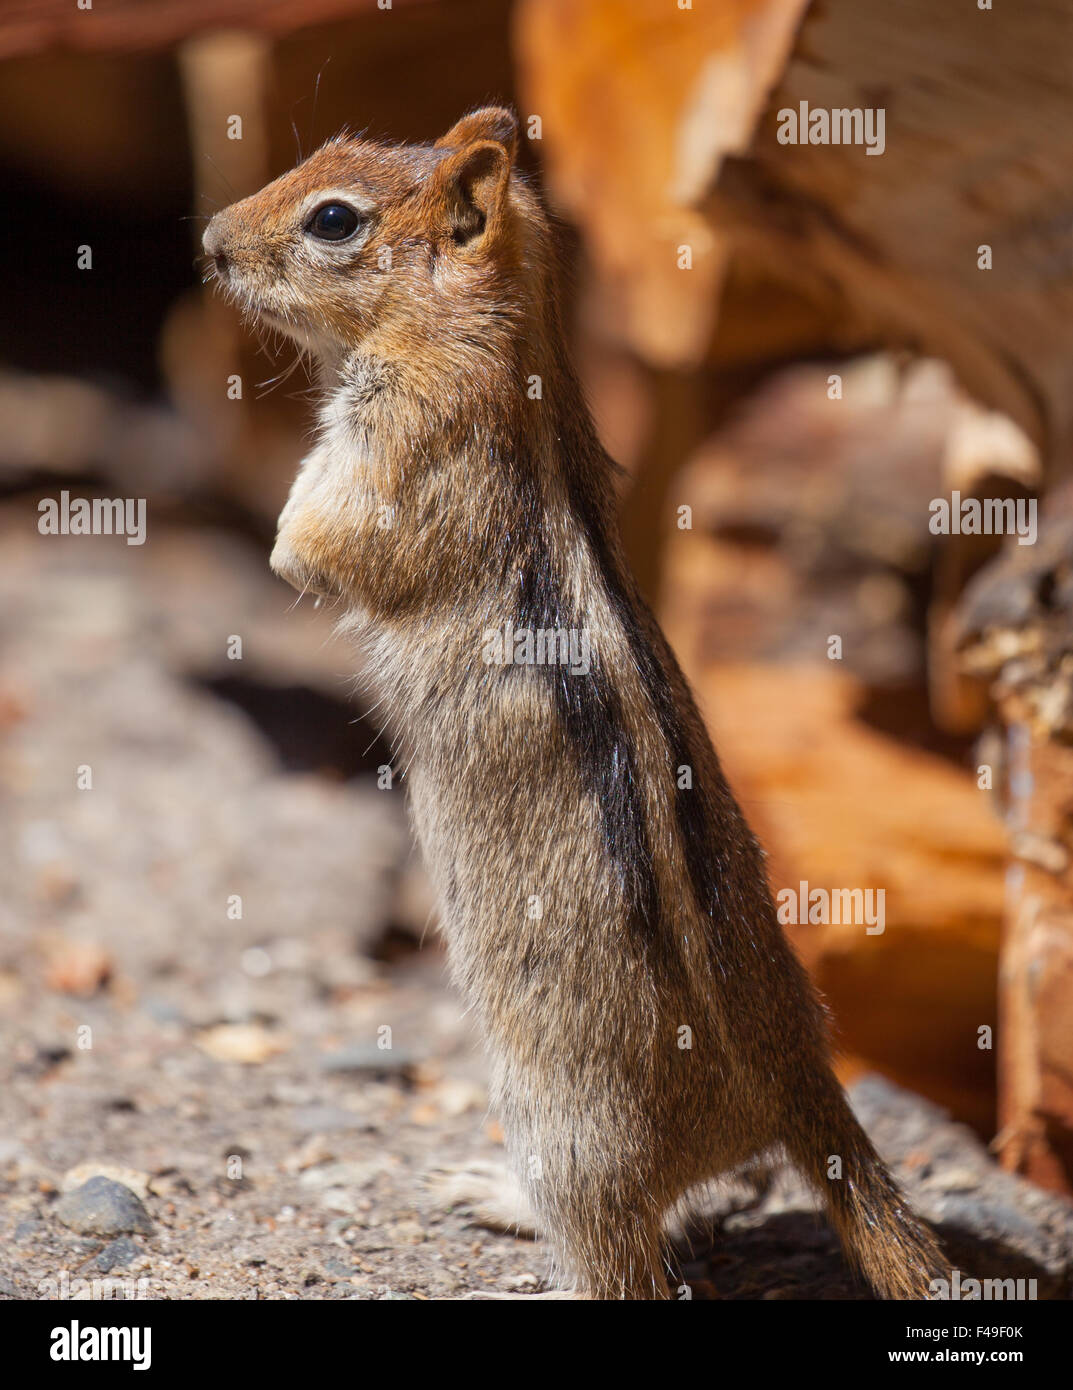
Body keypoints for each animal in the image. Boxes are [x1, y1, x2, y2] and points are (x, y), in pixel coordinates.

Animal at [203, 107, 946, 1300]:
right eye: (326, 149)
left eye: (333, 220)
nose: (212, 242)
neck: (502, 340)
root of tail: (803, 1088)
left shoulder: (403, 439)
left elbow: (308, 545)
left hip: (566, 1128)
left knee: (624, 1256)